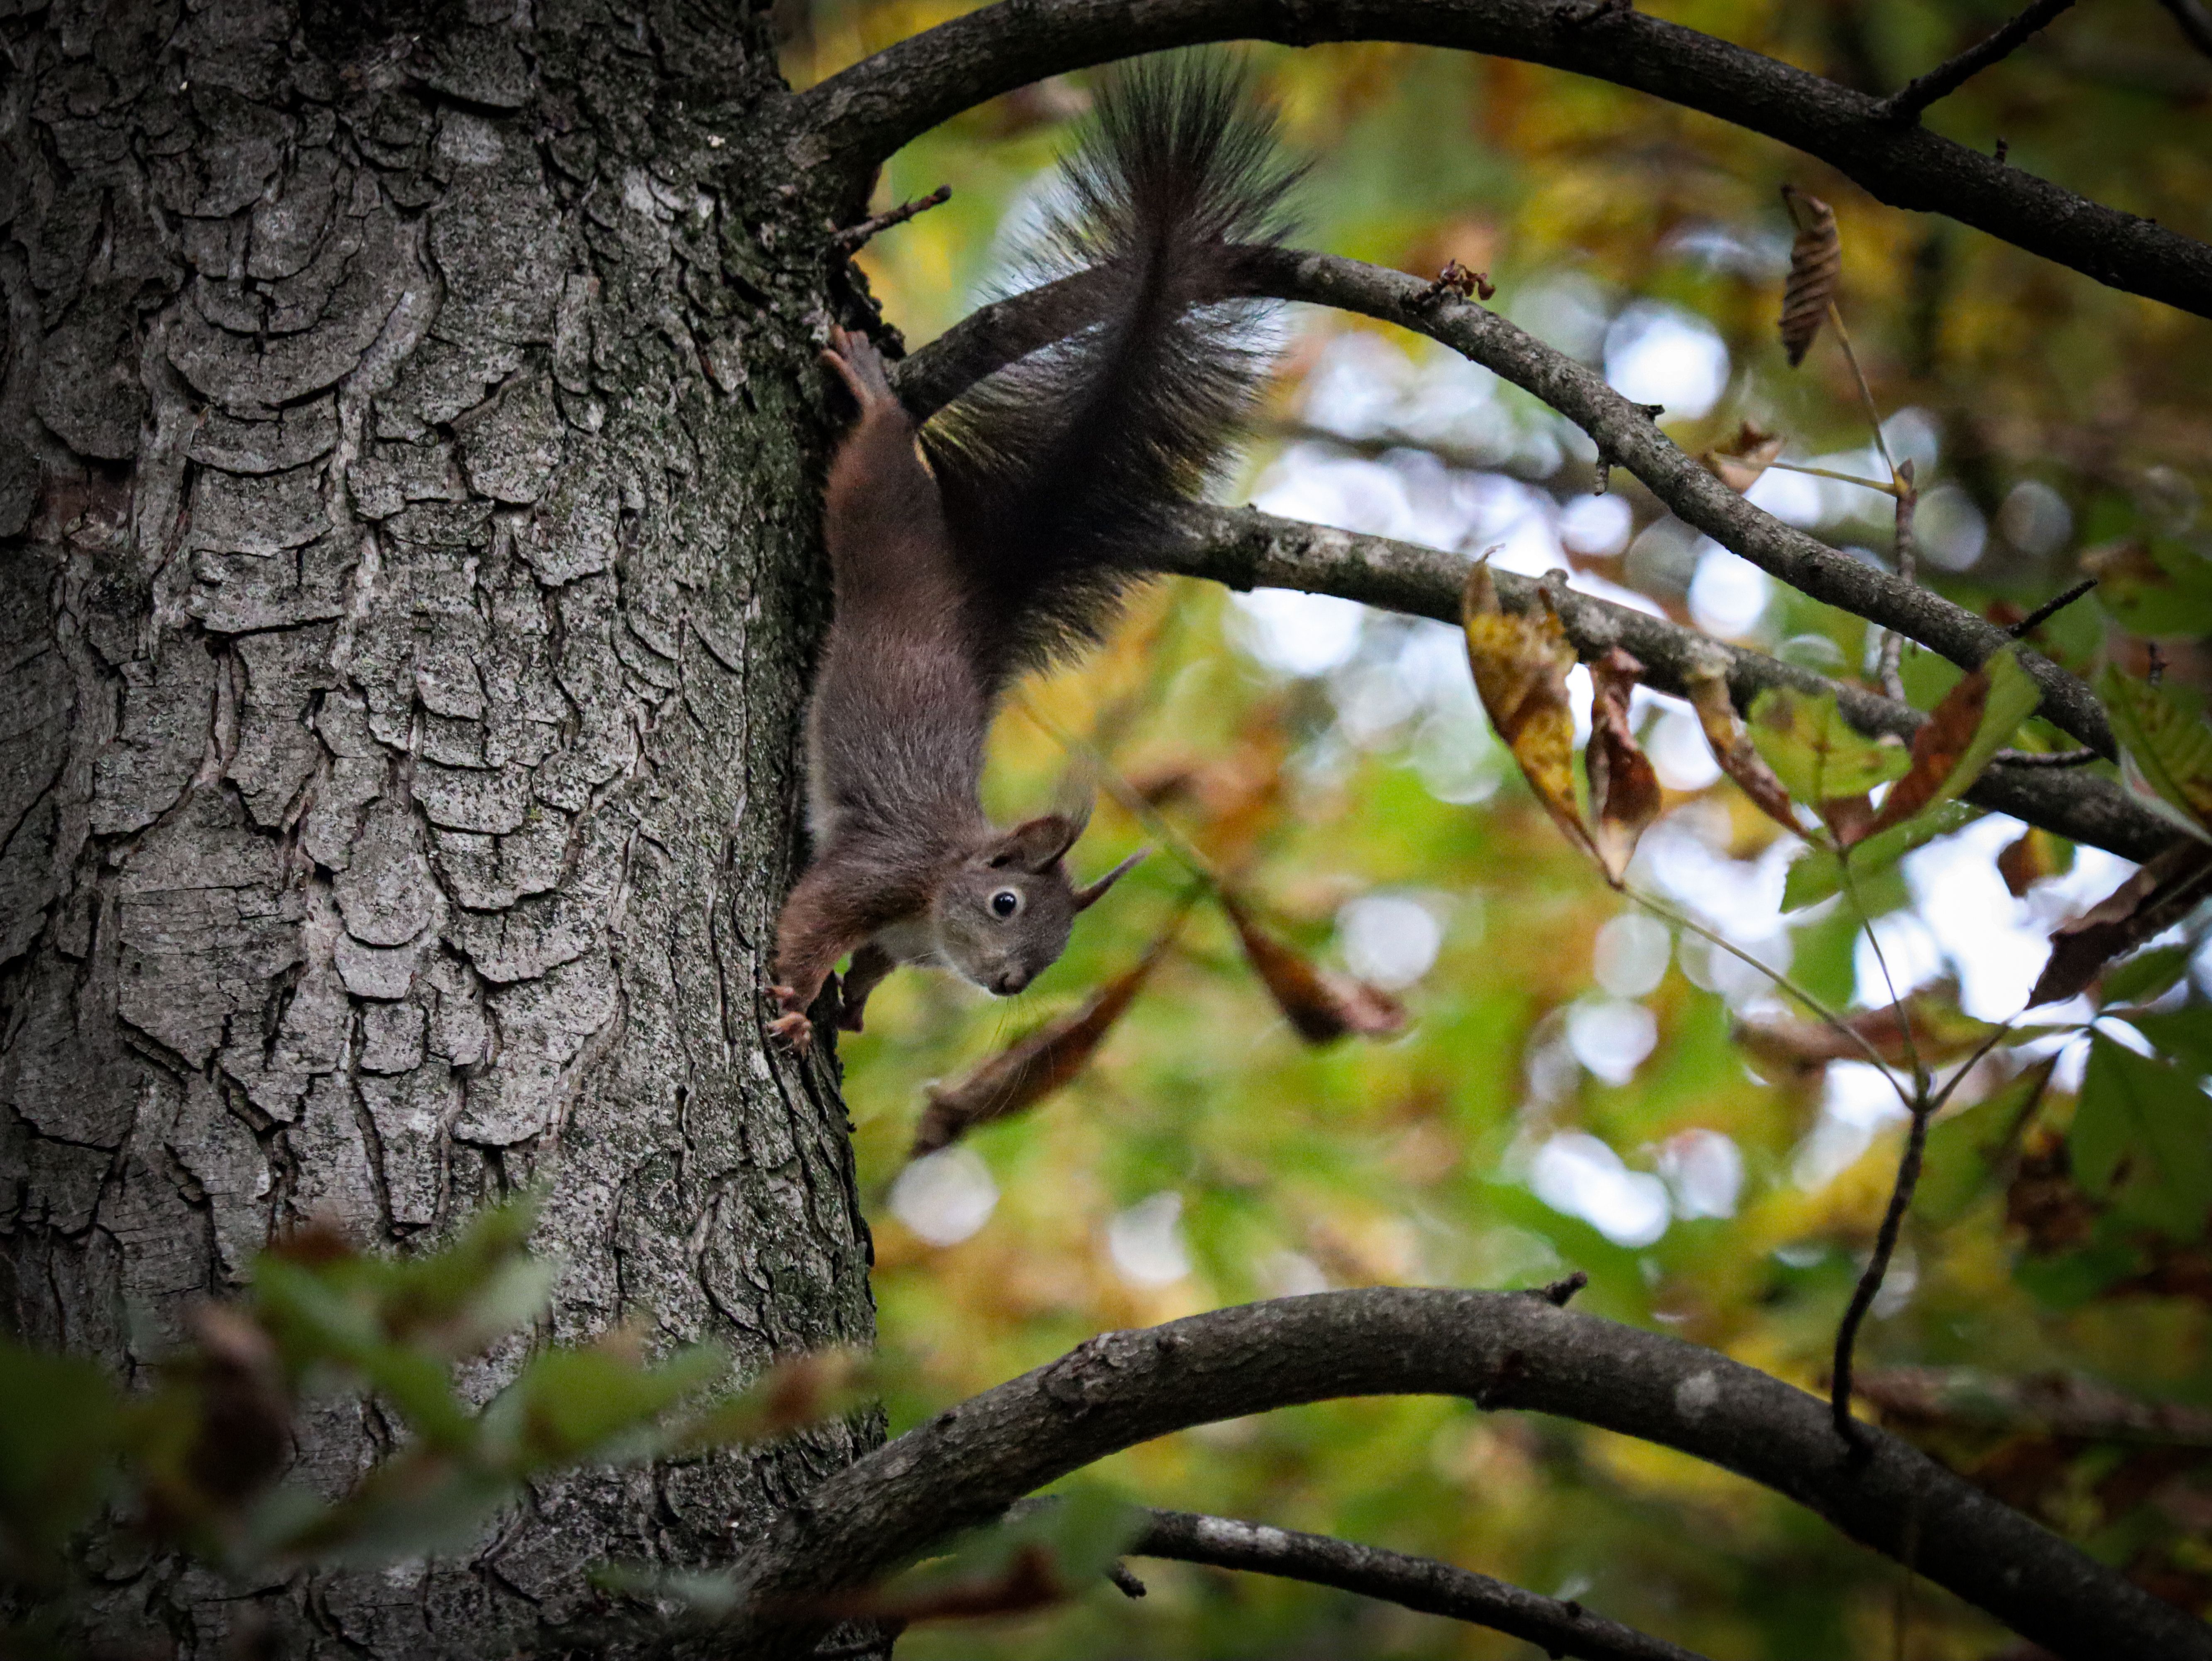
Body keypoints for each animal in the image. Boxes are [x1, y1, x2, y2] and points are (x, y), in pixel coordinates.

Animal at [767, 59, 1297, 1052]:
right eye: (1007, 902)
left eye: (1056, 948)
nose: (1010, 982)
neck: (935, 896)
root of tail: (967, 595)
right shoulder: (878, 867)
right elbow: (811, 919)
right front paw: (796, 996)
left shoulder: (900, 936)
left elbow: (873, 964)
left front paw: (851, 1004)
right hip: (883, 519)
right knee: (876, 466)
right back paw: (876, 396)